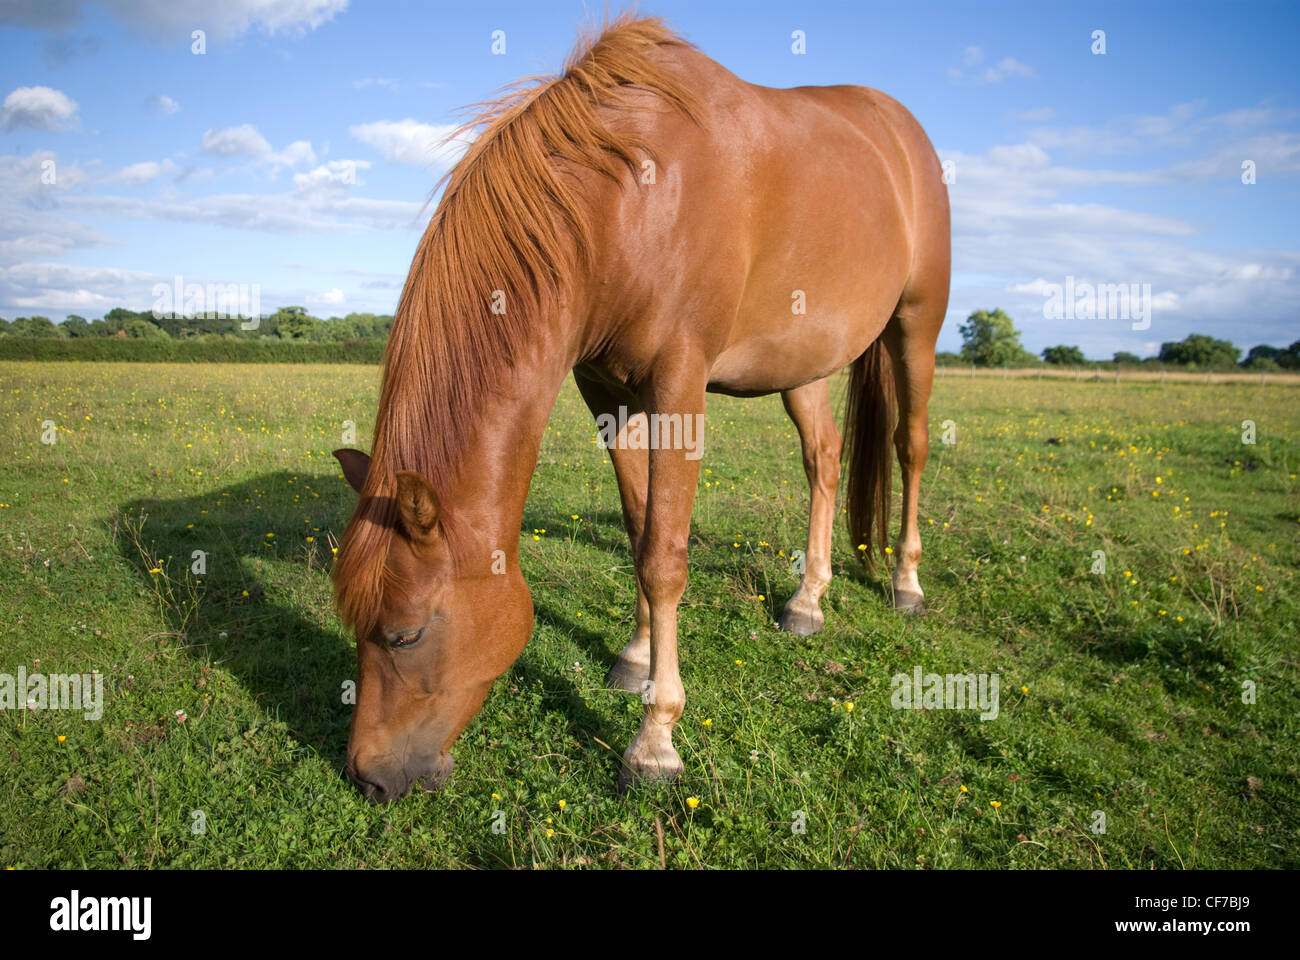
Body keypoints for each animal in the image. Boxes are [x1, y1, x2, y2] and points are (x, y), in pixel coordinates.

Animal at [331, 13, 949, 801]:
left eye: (406, 633)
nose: (369, 777)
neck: (627, 204)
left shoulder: (679, 387)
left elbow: (664, 557)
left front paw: (656, 740)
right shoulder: (606, 393)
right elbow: (637, 529)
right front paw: (633, 657)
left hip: (916, 327)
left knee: (911, 446)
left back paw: (906, 582)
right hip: (803, 357)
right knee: (825, 458)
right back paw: (807, 600)